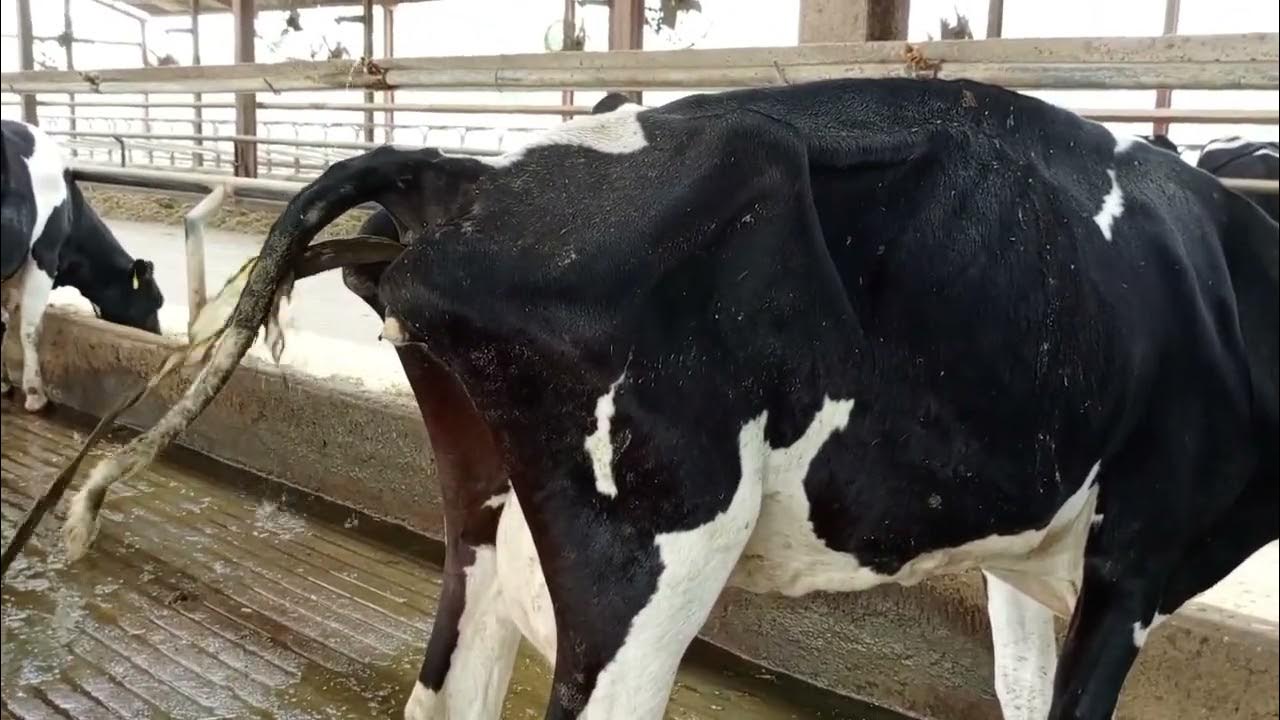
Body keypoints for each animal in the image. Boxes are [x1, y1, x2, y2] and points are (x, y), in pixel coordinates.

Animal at [1, 119, 165, 412]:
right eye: (156, 301)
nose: (158, 335)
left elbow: (5, 322)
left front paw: (4, 383)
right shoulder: (44, 255)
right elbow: (30, 329)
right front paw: (35, 395)